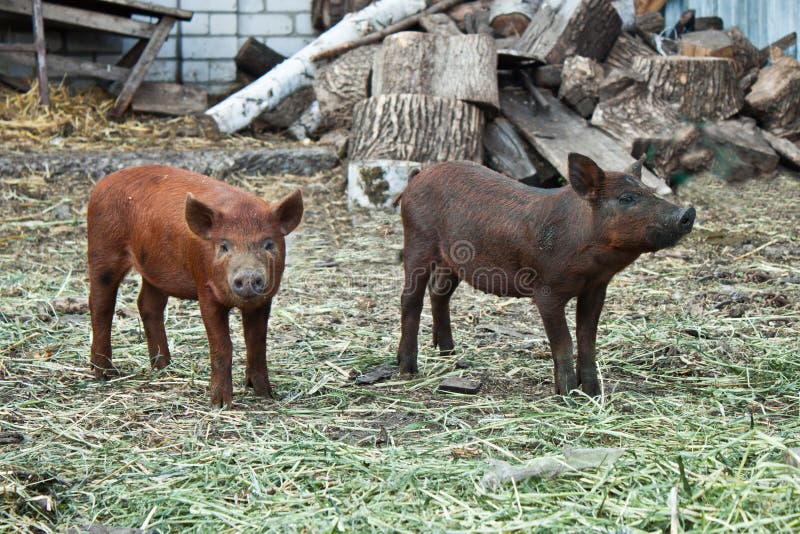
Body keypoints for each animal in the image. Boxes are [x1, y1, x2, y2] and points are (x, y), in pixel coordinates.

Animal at [87, 165, 303, 407]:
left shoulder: (264, 300)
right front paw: (220, 405)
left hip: (155, 269)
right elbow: (222, 345)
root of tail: (104, 183)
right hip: (102, 248)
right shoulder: (206, 291)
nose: (248, 277)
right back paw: (105, 374)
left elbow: (257, 343)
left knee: (147, 305)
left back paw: (164, 367)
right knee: (101, 306)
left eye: (268, 244)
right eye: (224, 246)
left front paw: (266, 395)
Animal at [395, 153, 695, 396]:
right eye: (627, 198)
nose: (688, 211)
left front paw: (593, 394)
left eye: (649, 191)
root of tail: (418, 177)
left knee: (439, 292)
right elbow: (564, 341)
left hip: (452, 259)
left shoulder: (596, 289)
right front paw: (567, 395)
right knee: (410, 298)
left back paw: (448, 351)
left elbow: (587, 338)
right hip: (418, 239)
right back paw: (408, 369)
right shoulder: (546, 292)